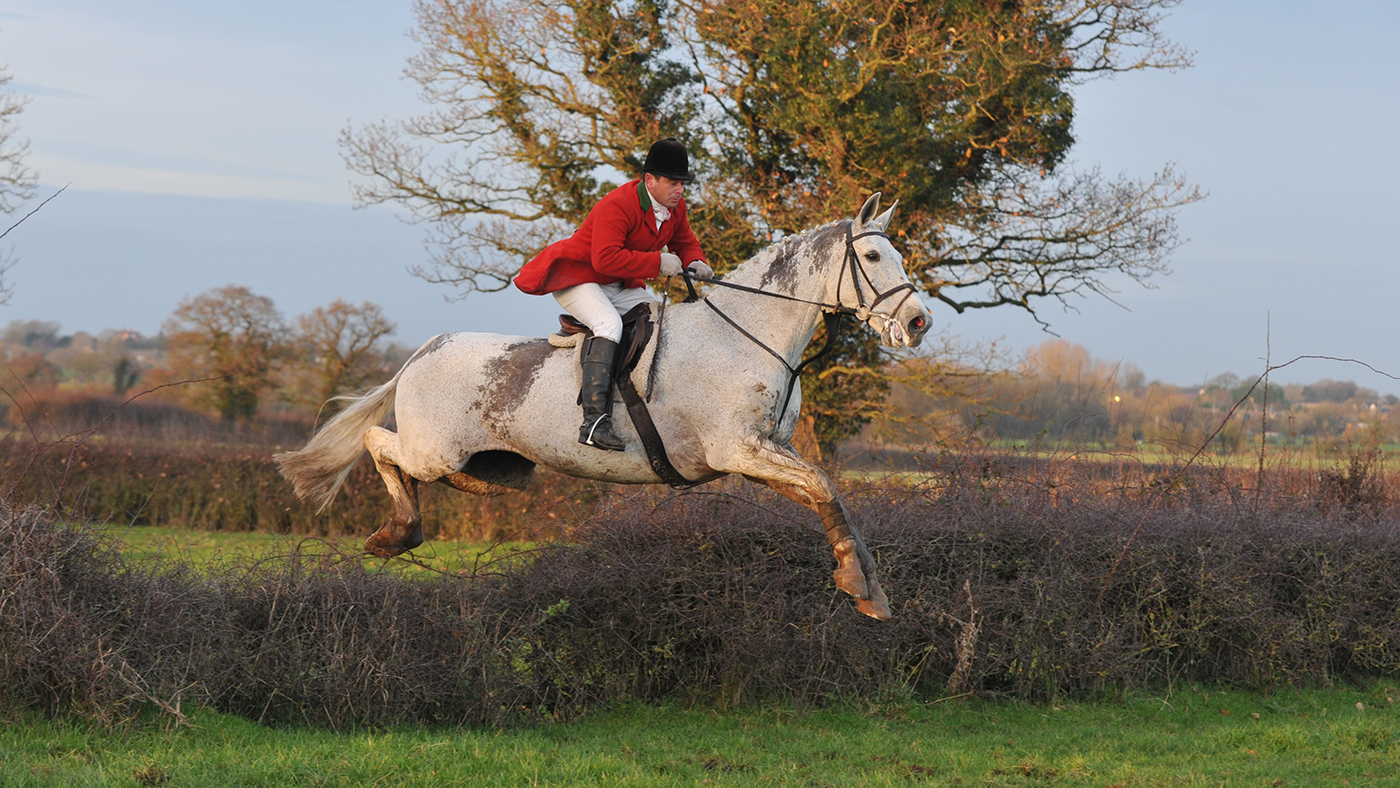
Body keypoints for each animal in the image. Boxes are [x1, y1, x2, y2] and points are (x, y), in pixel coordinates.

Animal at [275, 193, 931, 620]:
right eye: (875, 259)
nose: (919, 323)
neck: (745, 332)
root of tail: (422, 351)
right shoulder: (739, 450)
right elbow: (822, 485)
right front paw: (858, 583)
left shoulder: (766, 453)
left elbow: (827, 493)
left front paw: (869, 587)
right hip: (434, 451)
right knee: (378, 445)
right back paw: (395, 533)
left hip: (485, 470)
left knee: (429, 469)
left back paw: (402, 529)